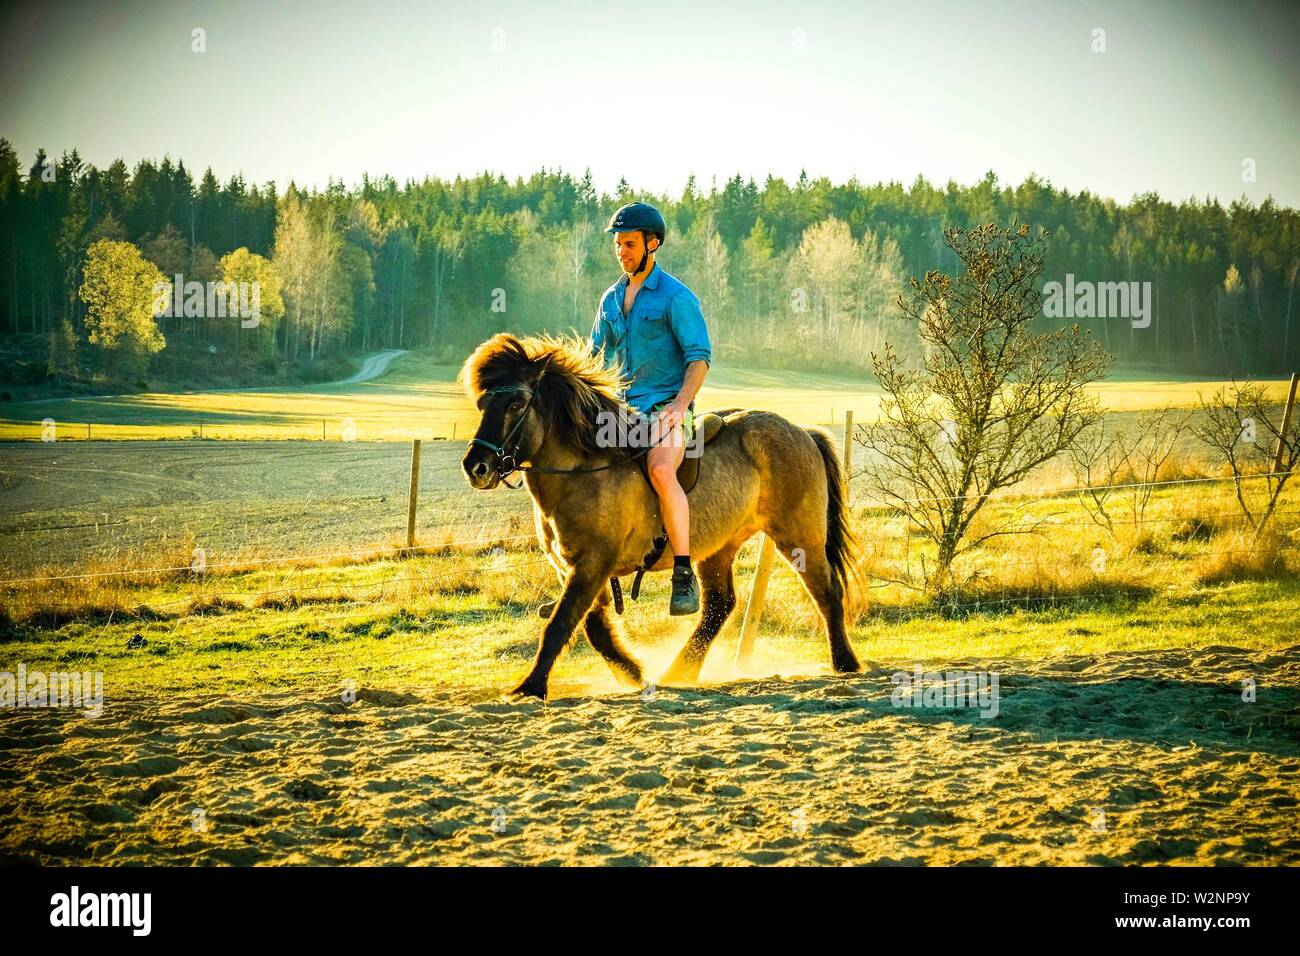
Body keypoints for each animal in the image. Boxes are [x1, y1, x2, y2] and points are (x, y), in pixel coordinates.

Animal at [459, 333, 863, 699]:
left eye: (516, 403)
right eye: (483, 403)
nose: (476, 467)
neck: (584, 471)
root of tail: (802, 432)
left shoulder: (592, 564)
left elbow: (560, 624)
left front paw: (530, 687)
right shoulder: (573, 568)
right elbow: (594, 628)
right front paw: (633, 673)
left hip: (798, 536)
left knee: (826, 592)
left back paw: (844, 663)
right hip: (719, 546)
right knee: (719, 605)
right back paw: (679, 671)